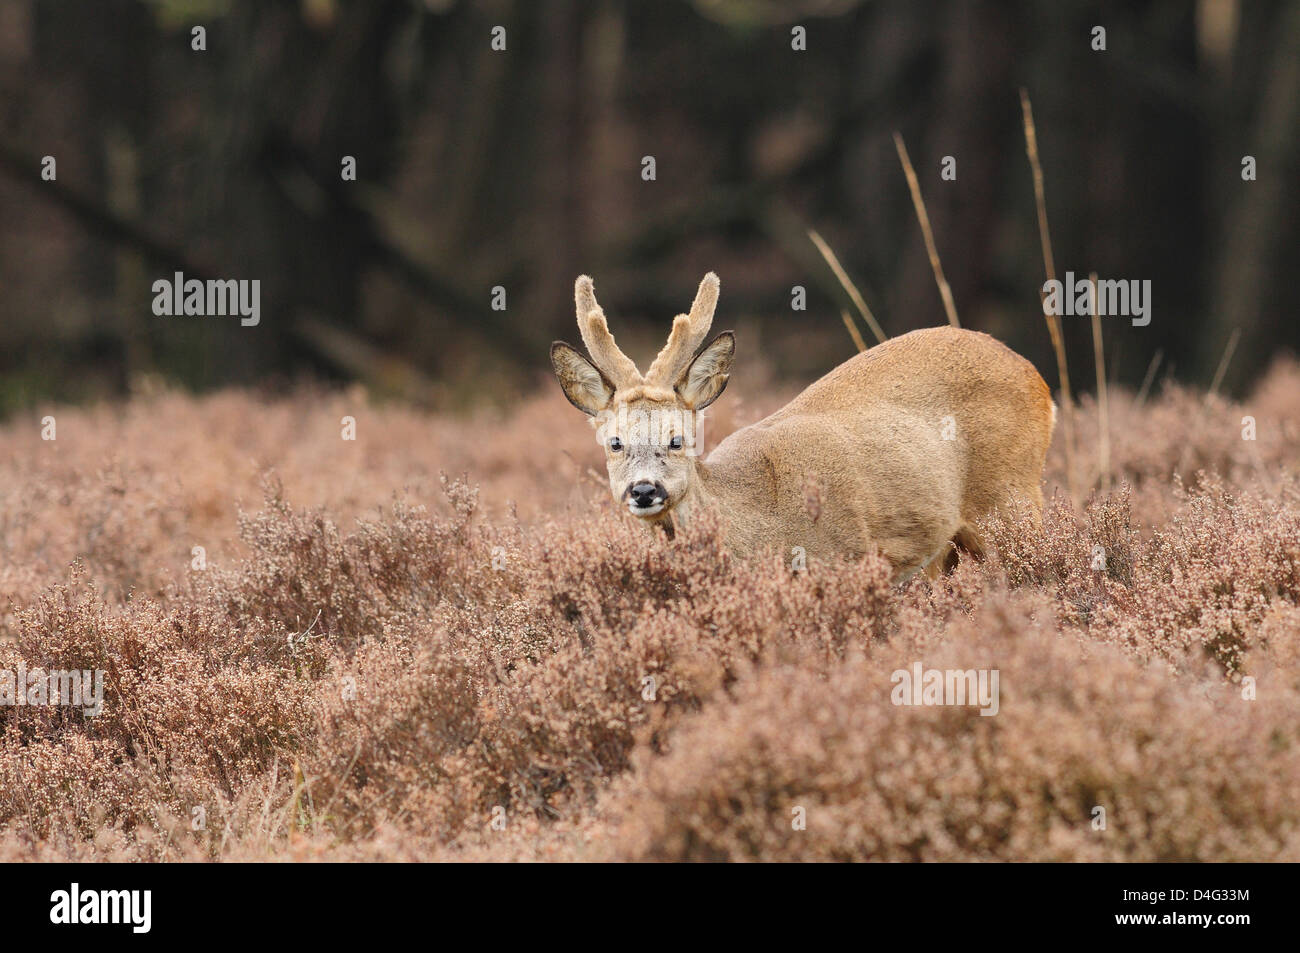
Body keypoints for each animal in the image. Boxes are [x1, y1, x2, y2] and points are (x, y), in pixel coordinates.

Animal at [550, 273, 1055, 579]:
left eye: (678, 440)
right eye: (614, 443)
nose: (643, 490)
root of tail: (1038, 378)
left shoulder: (849, 556)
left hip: (1011, 495)